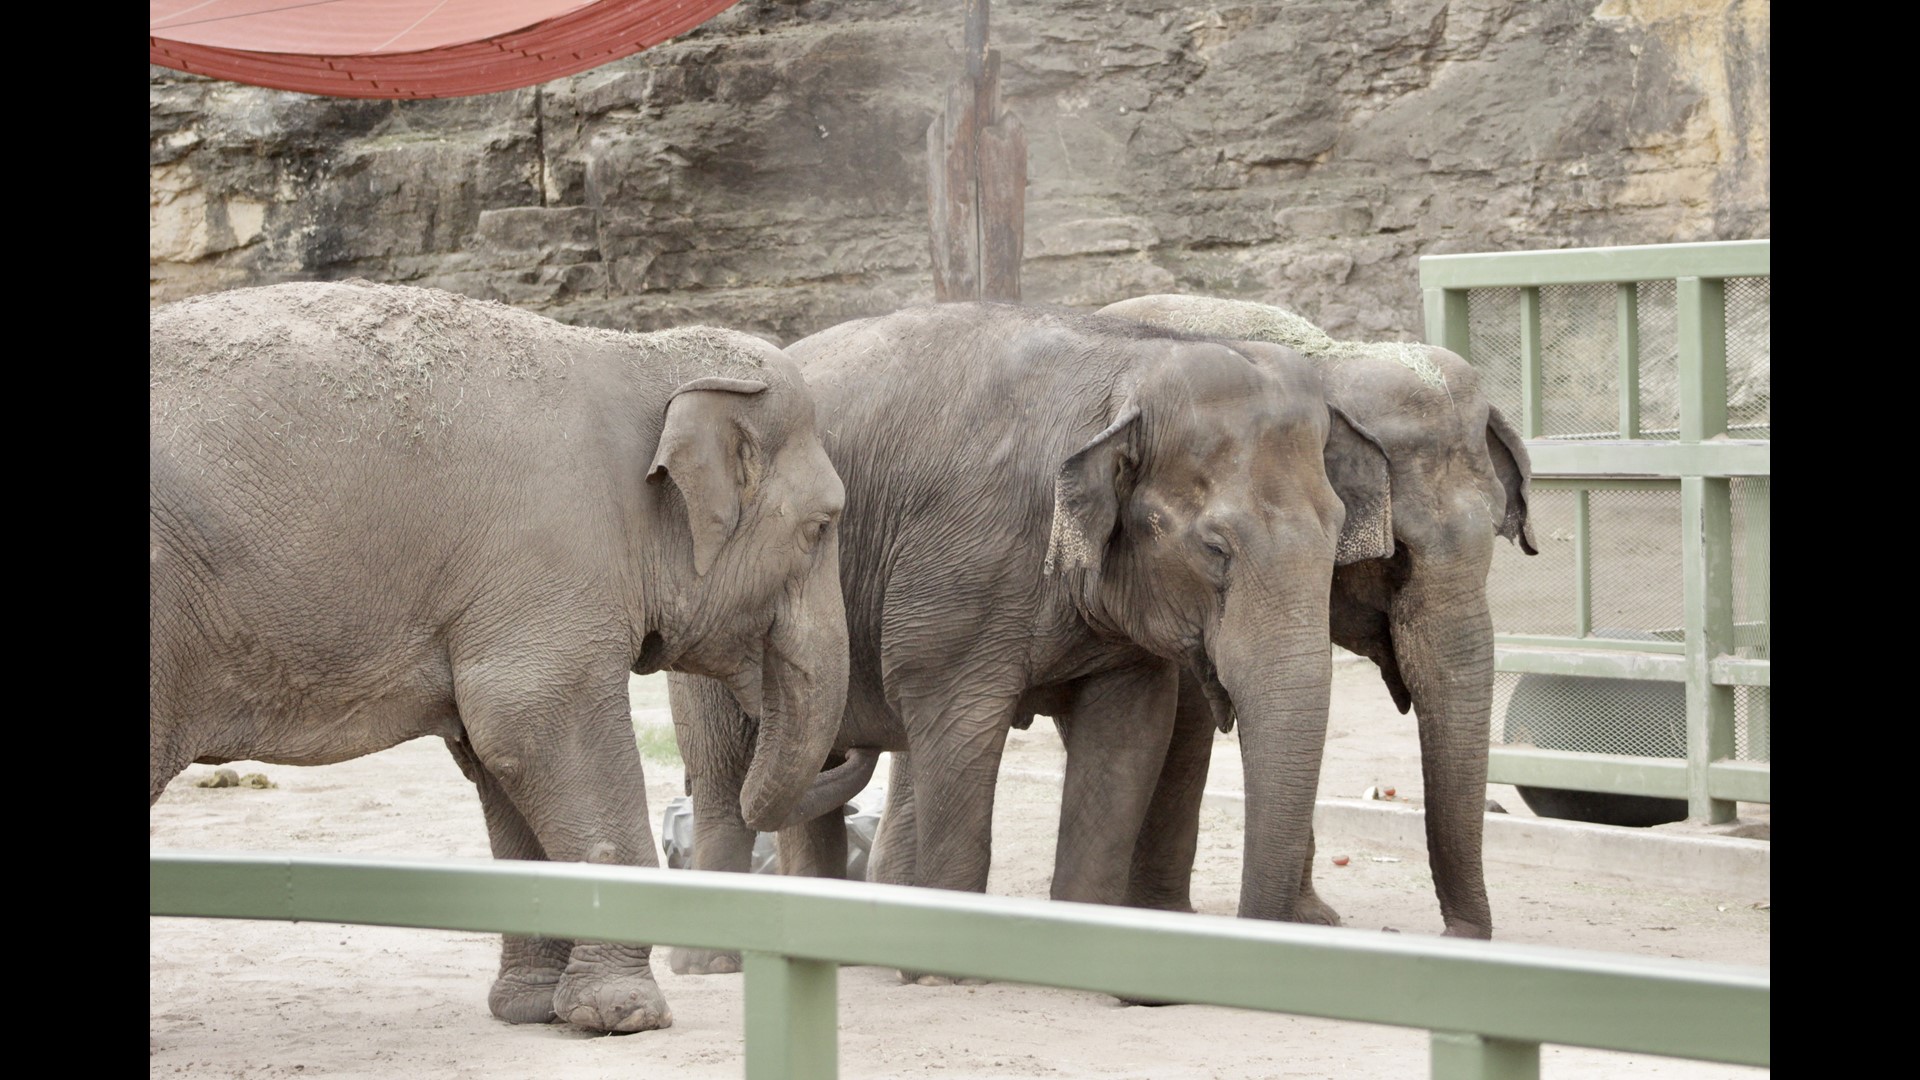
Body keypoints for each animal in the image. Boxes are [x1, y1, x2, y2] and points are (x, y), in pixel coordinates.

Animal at [149, 280, 861, 1033]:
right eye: (821, 527)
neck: (638, 355)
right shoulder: (549, 556)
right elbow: (533, 724)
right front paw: (624, 1015)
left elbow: (497, 758)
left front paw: (532, 1009)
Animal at [666, 301, 1393, 977]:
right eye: (1215, 549)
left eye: (1337, 538)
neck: (1128, 367)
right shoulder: (957, 573)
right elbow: (958, 731)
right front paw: (946, 970)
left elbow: (1127, 735)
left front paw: (1078, 957)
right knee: (723, 762)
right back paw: (712, 962)